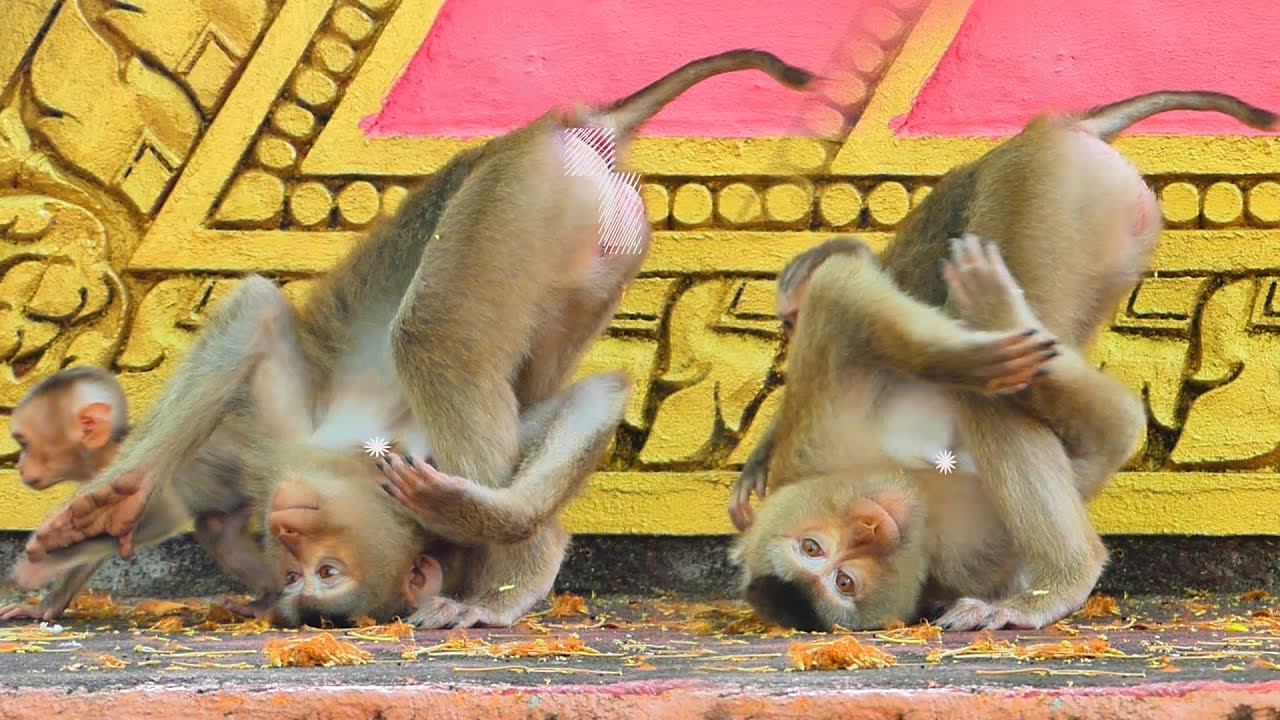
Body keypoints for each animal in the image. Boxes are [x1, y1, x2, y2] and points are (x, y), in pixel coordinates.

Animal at [9, 50, 817, 628]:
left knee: (436, 336)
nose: (287, 534)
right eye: (298, 568)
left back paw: (503, 556)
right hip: (600, 251)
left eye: (325, 571)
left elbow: (255, 312)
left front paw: (112, 504)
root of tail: (583, 128)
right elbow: (598, 392)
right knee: (534, 371)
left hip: (518, 198)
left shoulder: (275, 449)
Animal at [727, 91, 1277, 632]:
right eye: (839, 577)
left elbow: (843, 288)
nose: (869, 528)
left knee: (986, 386)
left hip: (1043, 189)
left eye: (814, 549)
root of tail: (1053, 129)